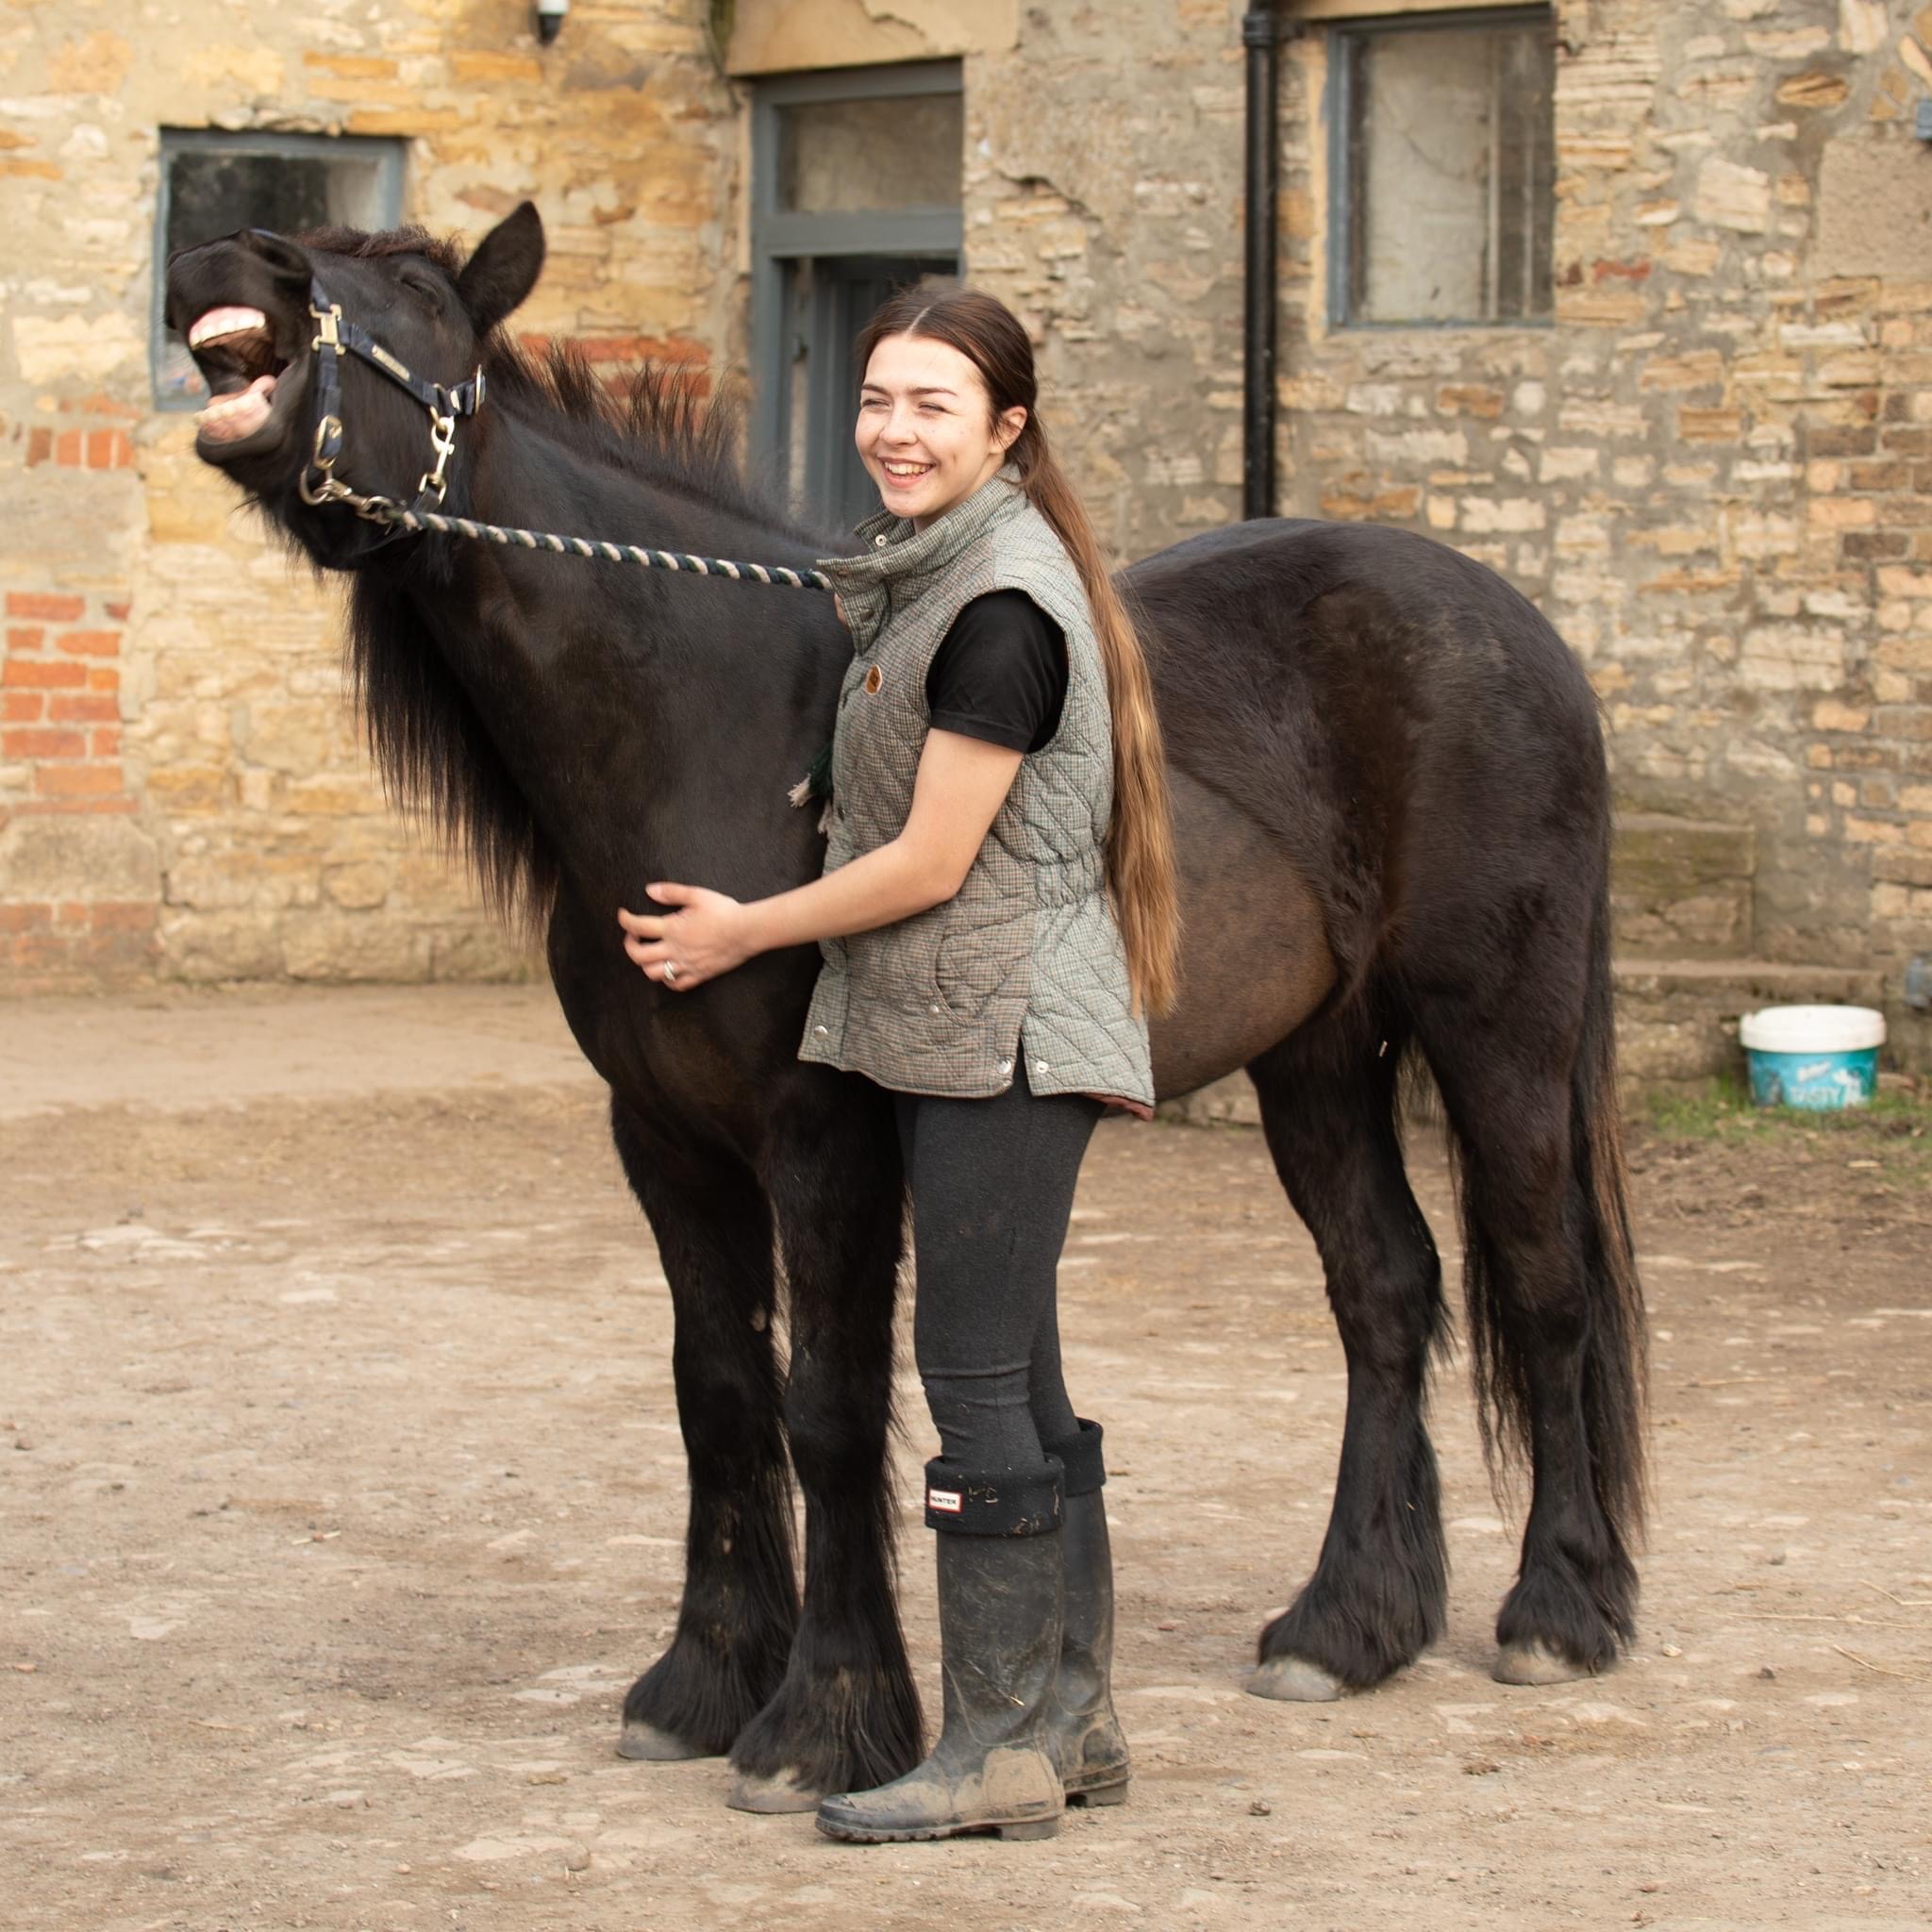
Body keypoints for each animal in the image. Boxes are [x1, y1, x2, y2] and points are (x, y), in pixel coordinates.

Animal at [163, 204, 1646, 1812]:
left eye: (422, 310)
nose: (230, 266)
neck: (709, 723)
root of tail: (1515, 625)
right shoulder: (662, 1138)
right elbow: (718, 1391)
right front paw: (701, 1683)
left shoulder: (825, 1138)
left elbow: (829, 1404)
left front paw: (821, 1718)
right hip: (1318, 1059)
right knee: (1385, 1289)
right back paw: (1350, 1624)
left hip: (1500, 1032)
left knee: (1545, 1284)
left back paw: (1559, 1609)